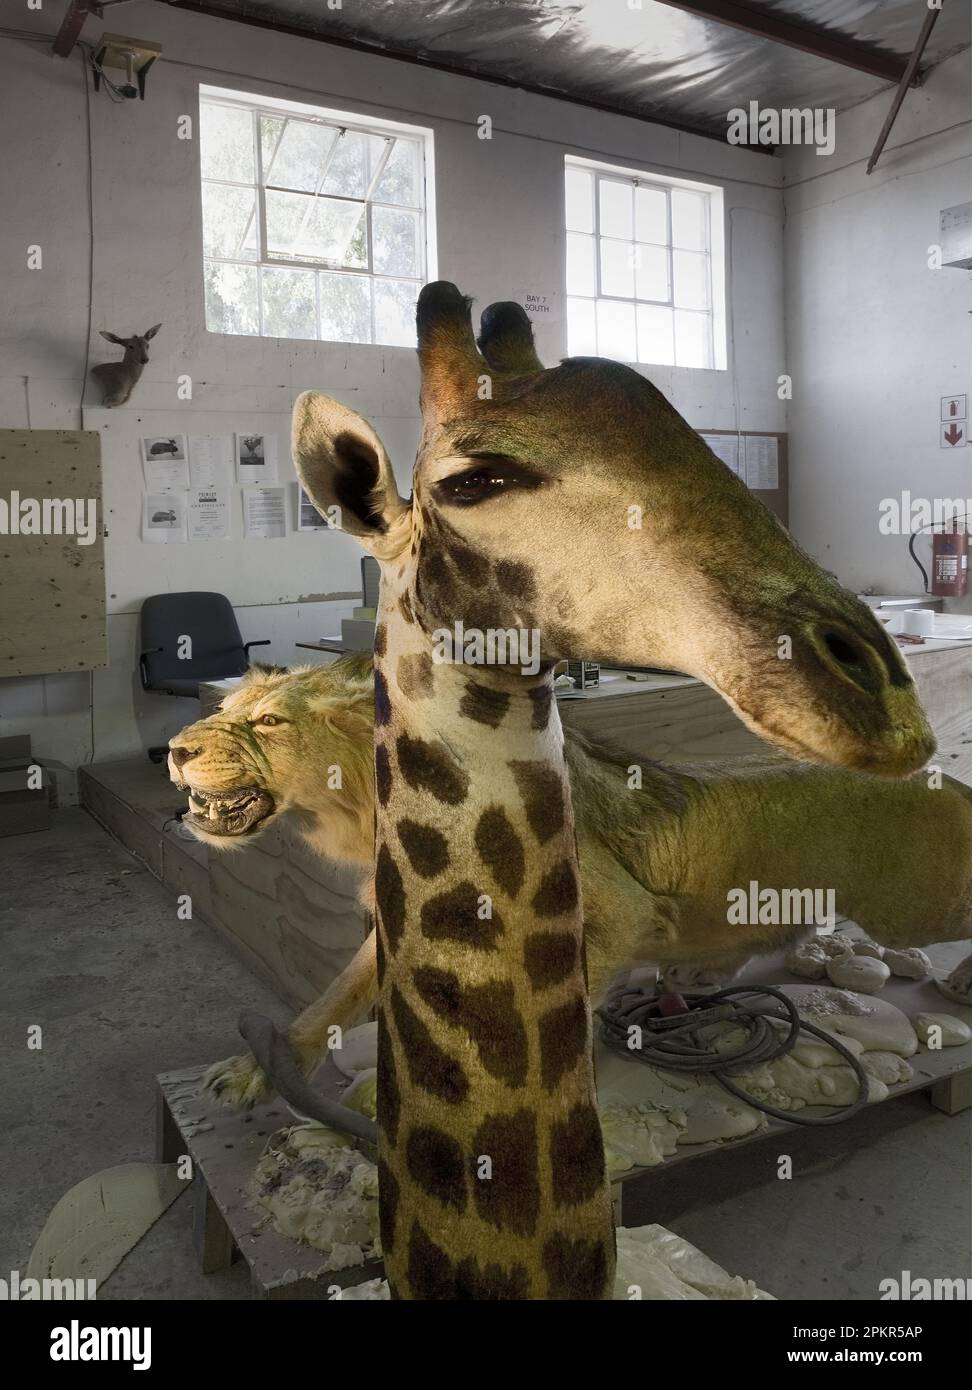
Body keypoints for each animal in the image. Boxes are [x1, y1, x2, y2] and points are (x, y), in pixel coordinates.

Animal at [169, 653, 972, 1108]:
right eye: (223, 711)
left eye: (270, 723)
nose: (175, 748)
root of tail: (943, 778)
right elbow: (329, 1001)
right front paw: (253, 1069)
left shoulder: (621, 912)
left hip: (921, 904)